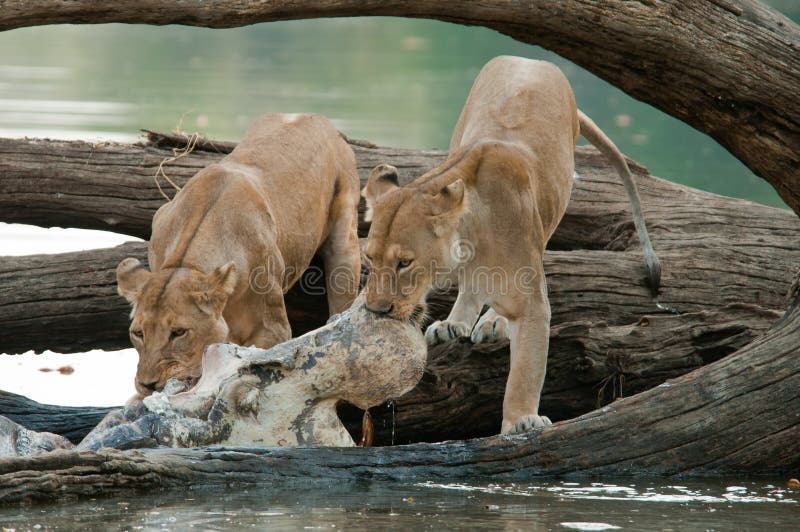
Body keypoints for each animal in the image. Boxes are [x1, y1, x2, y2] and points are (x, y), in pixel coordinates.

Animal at [116, 113, 361, 403]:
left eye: (178, 332)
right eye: (138, 333)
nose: (148, 384)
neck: (187, 261)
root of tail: (317, 118)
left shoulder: (273, 331)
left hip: (345, 240)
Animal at [361, 56, 660, 435]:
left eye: (404, 263)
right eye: (370, 259)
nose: (376, 311)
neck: (469, 240)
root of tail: (535, 60)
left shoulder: (532, 302)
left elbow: (526, 370)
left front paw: (521, 419)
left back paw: (494, 323)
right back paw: (455, 324)